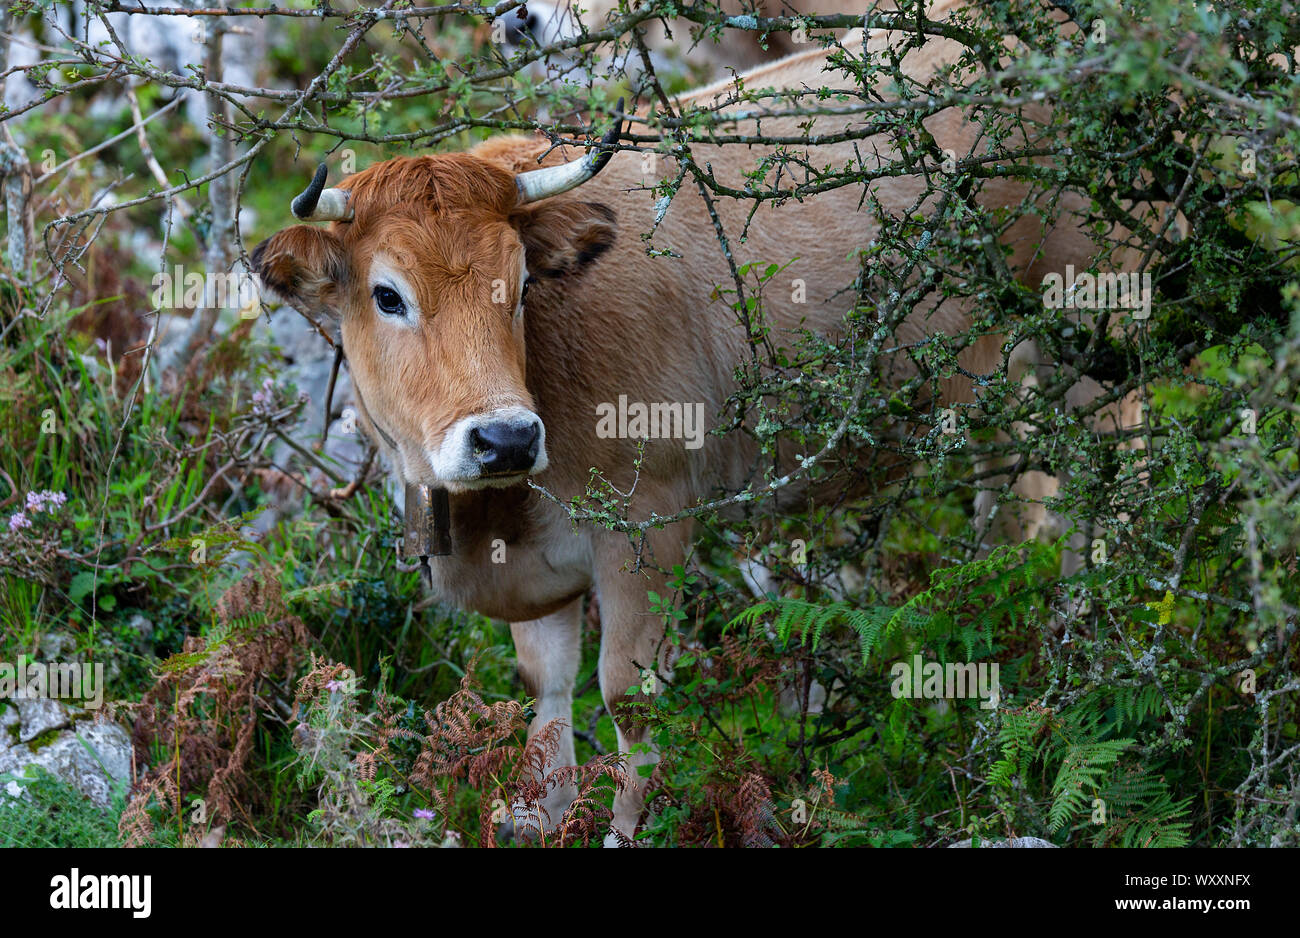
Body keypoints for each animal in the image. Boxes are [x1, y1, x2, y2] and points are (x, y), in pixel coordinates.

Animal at [253, 0, 1132, 844]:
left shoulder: (652, 521)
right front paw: (543, 812)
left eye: (525, 282)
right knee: (1015, 505)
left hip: (1099, 330)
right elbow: (549, 685)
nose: (505, 439)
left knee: (1103, 487)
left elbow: (628, 694)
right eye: (387, 294)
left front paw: (628, 828)